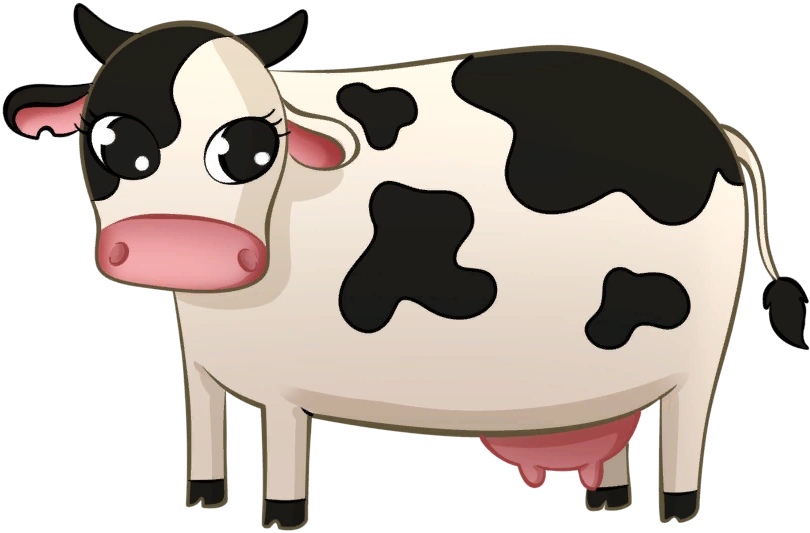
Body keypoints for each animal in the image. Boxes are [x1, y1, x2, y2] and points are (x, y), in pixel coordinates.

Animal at [9, 8, 808, 529]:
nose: (177, 245)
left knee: (683, 433)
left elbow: (284, 458)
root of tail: (720, 132)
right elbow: (205, 438)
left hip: (699, 355)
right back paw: (605, 500)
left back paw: (676, 509)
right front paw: (205, 501)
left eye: (248, 149)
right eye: (110, 141)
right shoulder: (201, 371)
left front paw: (283, 516)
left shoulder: (285, 391)